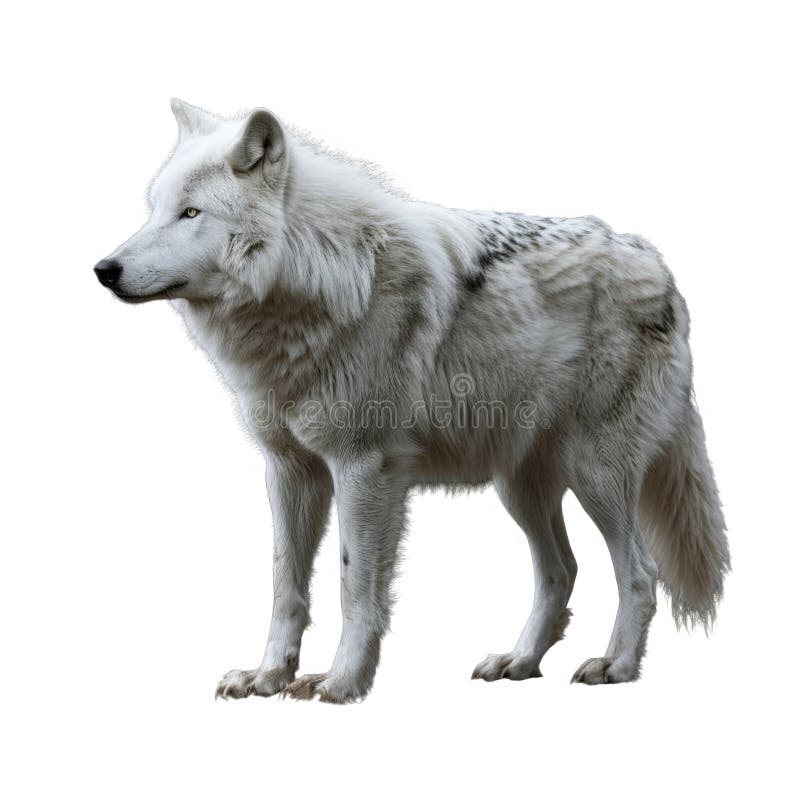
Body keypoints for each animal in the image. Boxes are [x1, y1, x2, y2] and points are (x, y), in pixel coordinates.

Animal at [94, 99, 729, 702]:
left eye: (191, 213)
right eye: (155, 209)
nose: (103, 269)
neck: (315, 281)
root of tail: (654, 261)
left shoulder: (364, 468)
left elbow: (354, 587)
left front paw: (340, 684)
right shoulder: (289, 470)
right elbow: (284, 587)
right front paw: (268, 677)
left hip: (594, 472)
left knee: (640, 571)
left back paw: (614, 667)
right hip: (519, 487)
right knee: (560, 572)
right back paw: (519, 662)